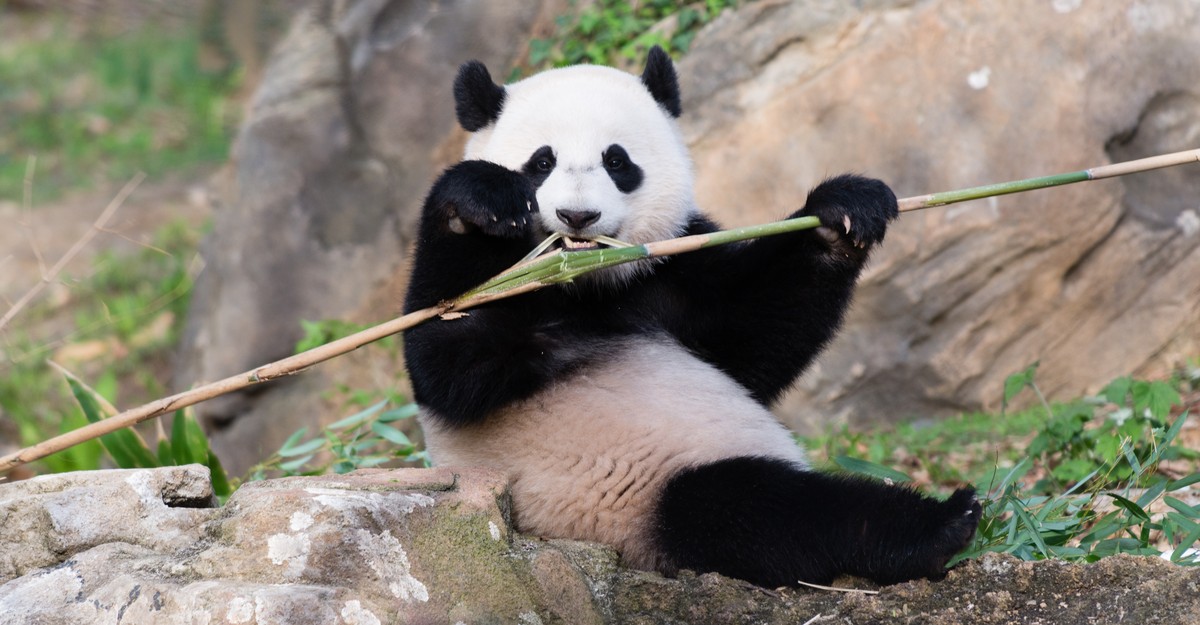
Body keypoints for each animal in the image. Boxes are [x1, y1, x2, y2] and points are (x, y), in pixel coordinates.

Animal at [403, 46, 981, 587]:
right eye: (541, 162)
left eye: (617, 161)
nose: (577, 216)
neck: (589, 280)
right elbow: (451, 353)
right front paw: (478, 205)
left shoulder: (672, 268)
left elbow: (752, 339)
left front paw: (842, 213)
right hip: (631, 497)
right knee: (760, 511)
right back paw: (937, 526)